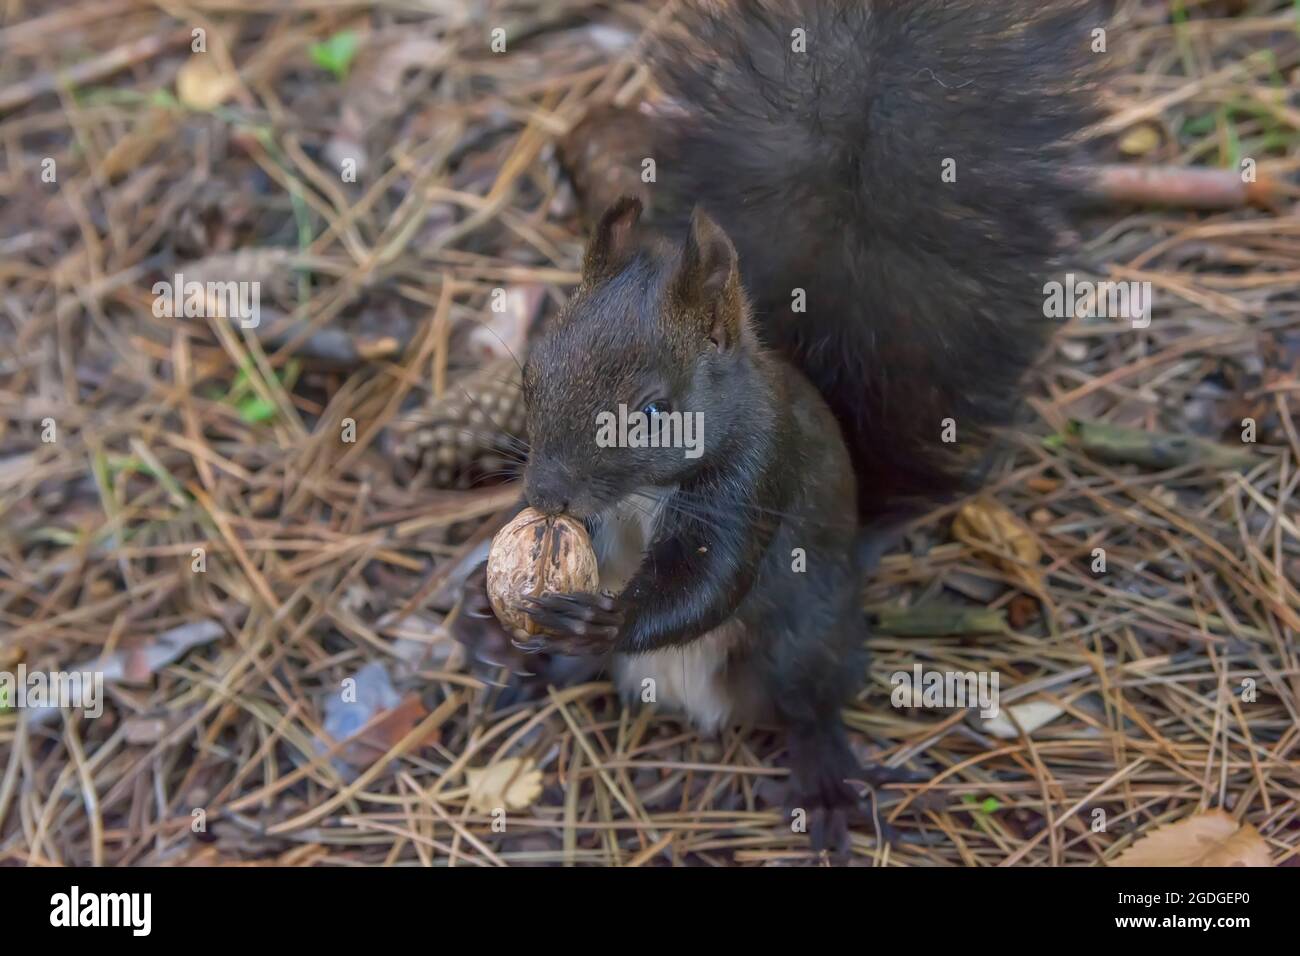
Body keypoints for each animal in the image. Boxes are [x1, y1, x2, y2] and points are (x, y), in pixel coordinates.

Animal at [453, 0, 1110, 858]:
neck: (641, 494)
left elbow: (709, 580)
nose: (546, 495)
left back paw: (824, 779)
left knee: (810, 704)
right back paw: (514, 655)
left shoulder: (759, 474)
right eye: (532, 373)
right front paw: (495, 599)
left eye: (655, 412)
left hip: (802, 639)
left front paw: (608, 618)